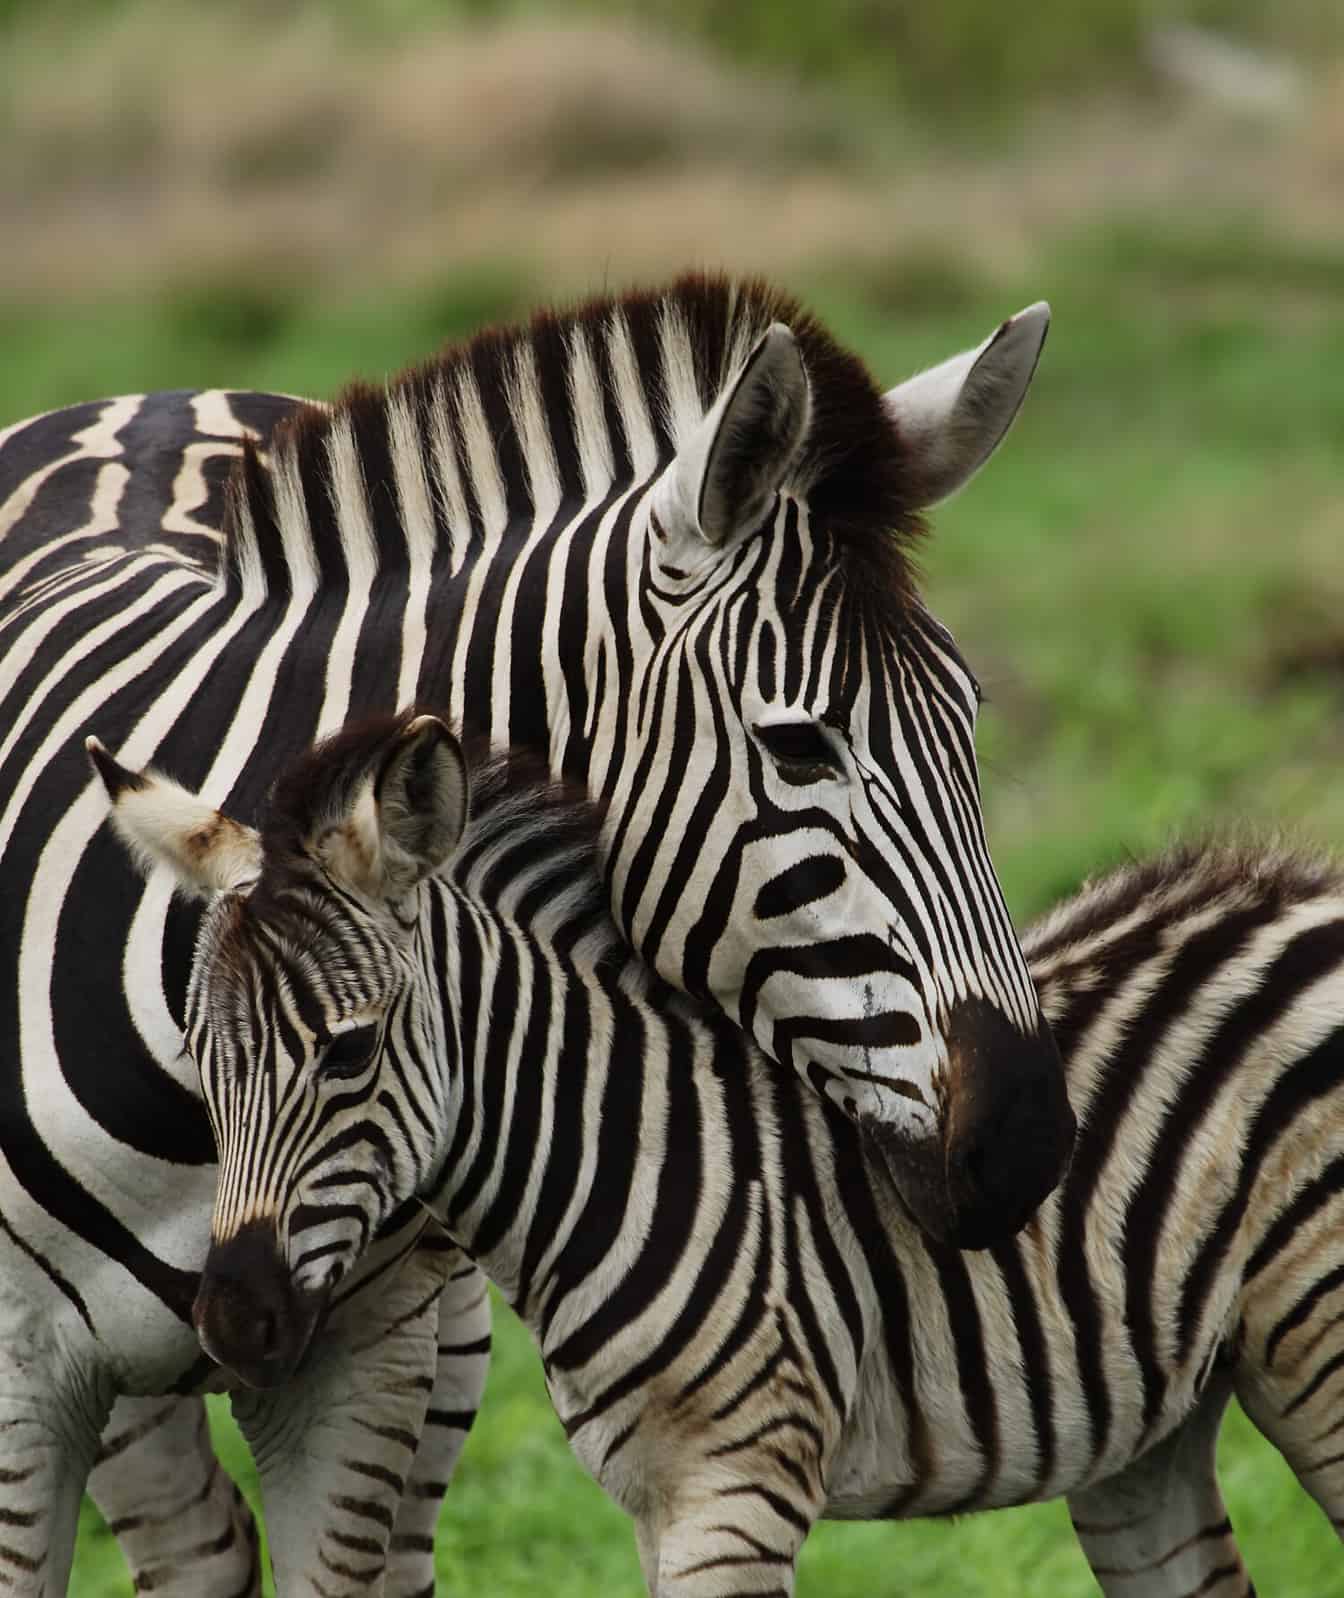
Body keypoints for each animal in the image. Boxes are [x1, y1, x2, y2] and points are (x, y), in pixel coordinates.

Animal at [0, 276, 1071, 1591]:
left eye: (972, 718)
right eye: (799, 745)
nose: (1029, 1138)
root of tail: (151, 395)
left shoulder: (364, 1353)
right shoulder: (25, 1385)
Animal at [98, 708, 1344, 1596]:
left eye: (348, 1050)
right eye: (200, 1053)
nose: (234, 1318)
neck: (617, 1154)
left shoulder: (736, 1489)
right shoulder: (660, 1501)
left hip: (1315, 1348)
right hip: (1156, 1432)